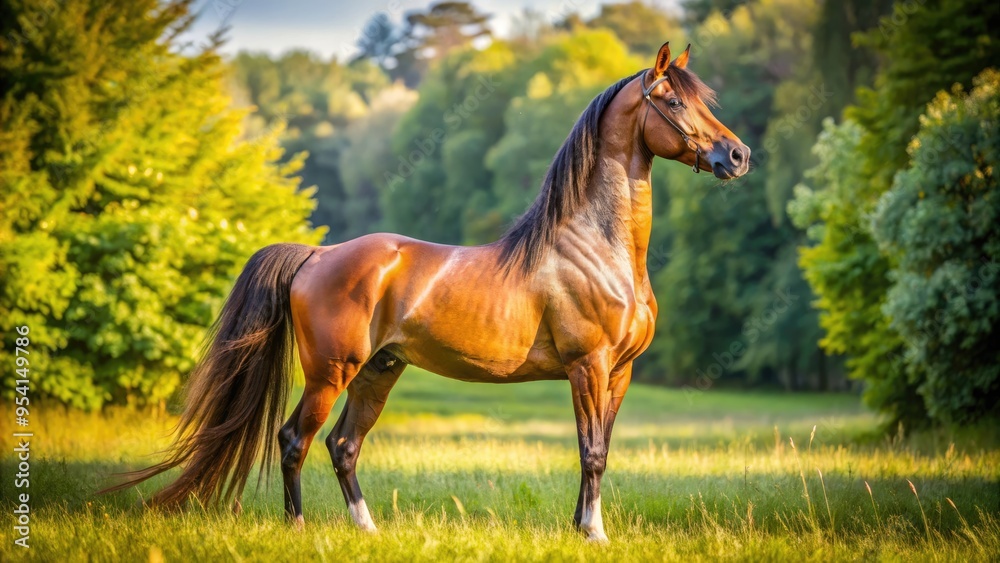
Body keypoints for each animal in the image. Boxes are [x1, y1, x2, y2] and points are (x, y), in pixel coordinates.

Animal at [104, 41, 749, 542]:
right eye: (673, 101)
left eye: (702, 101)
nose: (738, 155)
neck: (596, 246)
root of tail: (317, 255)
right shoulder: (587, 366)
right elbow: (591, 451)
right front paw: (593, 533)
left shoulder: (619, 372)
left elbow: (599, 450)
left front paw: (581, 528)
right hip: (330, 373)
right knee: (295, 440)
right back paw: (299, 528)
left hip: (377, 371)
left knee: (342, 445)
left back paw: (367, 529)